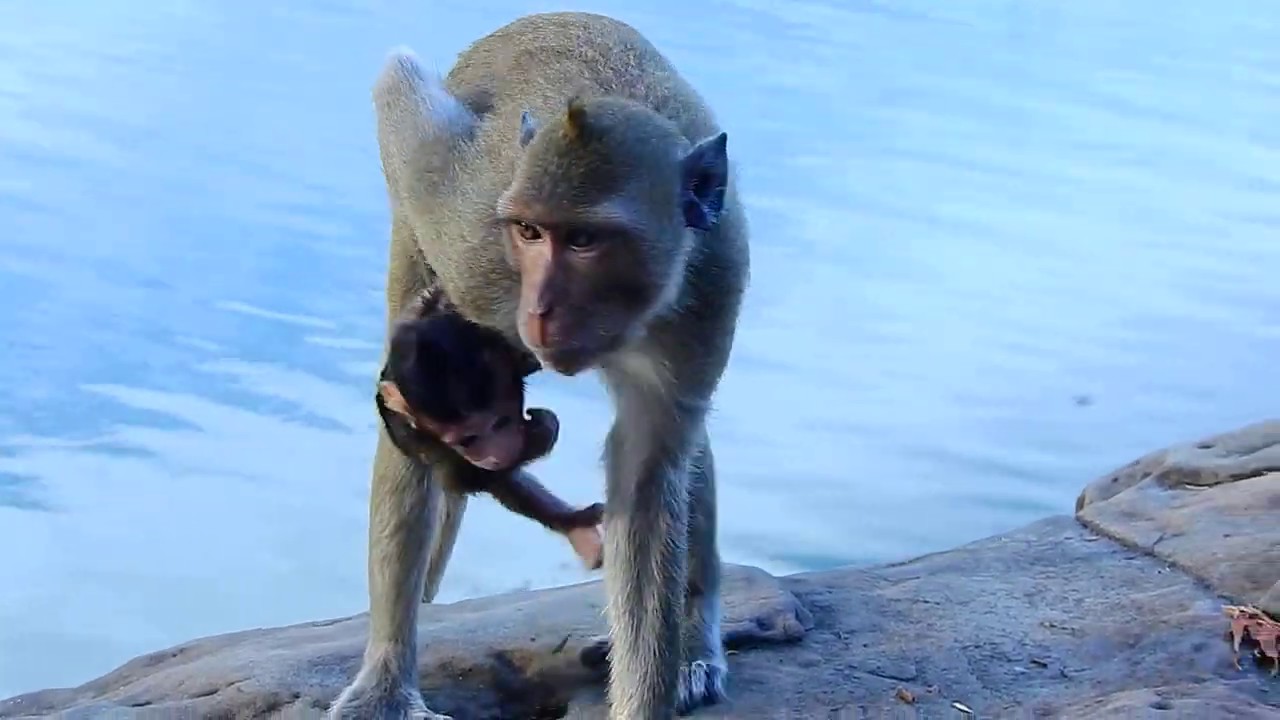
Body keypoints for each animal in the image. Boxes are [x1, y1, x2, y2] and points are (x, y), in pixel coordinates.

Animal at [375, 285, 606, 569]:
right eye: (468, 441)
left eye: (500, 423)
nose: (495, 455)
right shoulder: (421, 439)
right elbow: (472, 478)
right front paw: (539, 435)